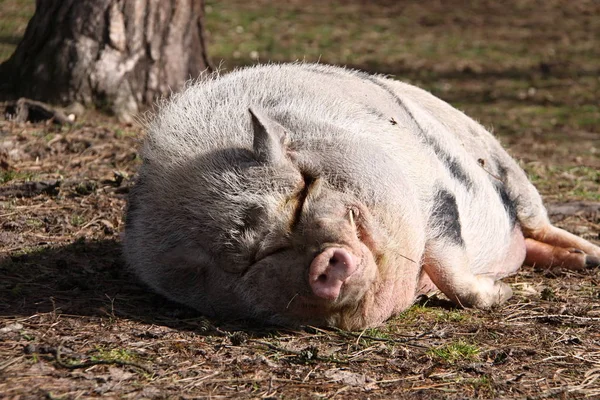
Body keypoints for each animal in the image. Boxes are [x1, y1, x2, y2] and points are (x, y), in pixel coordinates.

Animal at [123, 63, 600, 332]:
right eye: (253, 258)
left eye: (301, 194)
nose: (322, 263)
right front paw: (507, 292)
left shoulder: (434, 191)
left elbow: (449, 264)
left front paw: (509, 296)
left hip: (504, 164)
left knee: (537, 221)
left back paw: (589, 258)